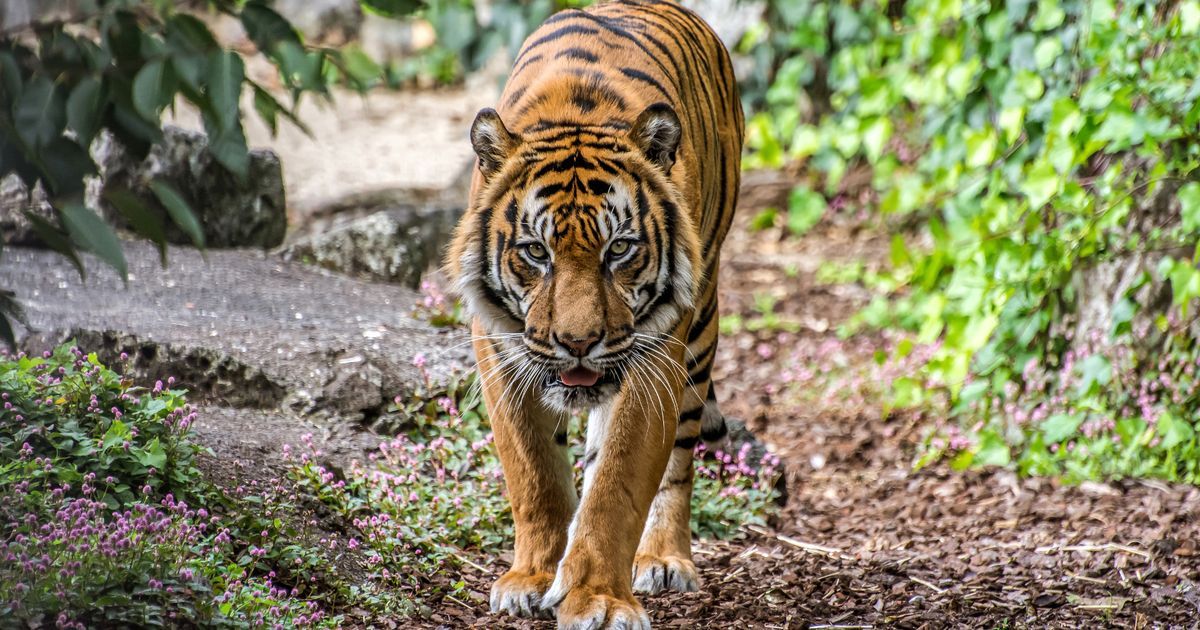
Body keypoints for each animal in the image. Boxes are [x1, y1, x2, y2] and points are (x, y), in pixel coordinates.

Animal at [445, 0, 743, 627]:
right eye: (537, 252)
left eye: (620, 249)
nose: (577, 343)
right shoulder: (500, 348)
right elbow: (535, 474)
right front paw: (532, 578)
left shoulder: (656, 356)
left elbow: (618, 484)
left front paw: (599, 599)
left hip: (700, 331)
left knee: (679, 460)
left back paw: (663, 559)